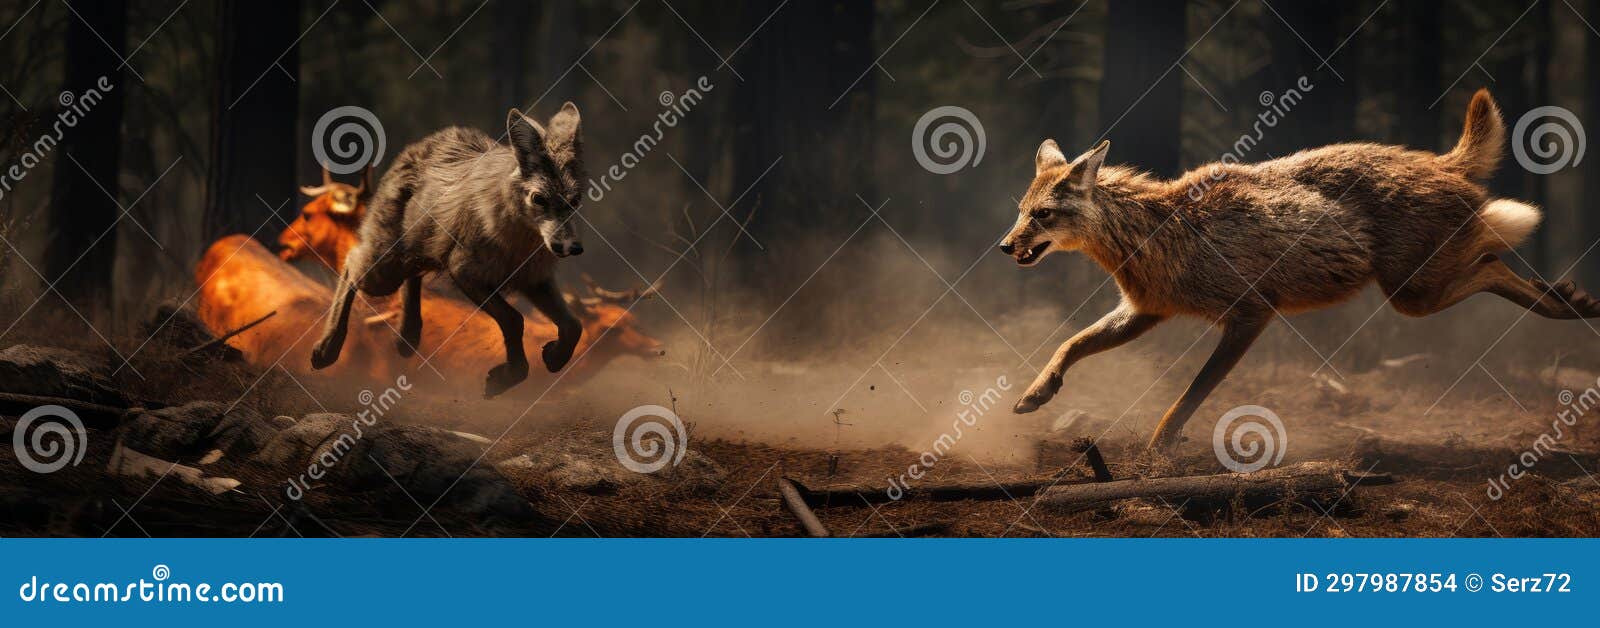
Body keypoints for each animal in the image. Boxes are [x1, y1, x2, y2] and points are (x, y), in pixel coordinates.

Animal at [309, 102, 589, 398]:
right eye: (539, 199)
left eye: (575, 200)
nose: (573, 247)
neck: (520, 245)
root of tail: (419, 144)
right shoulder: (464, 272)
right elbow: (515, 320)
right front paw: (505, 378)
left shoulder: (535, 281)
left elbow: (573, 326)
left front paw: (554, 358)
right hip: (383, 273)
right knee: (351, 261)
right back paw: (328, 348)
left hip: (411, 258)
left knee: (411, 274)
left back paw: (408, 336)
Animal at [1001, 89, 1598, 450]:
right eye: (1020, 209)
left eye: (1043, 214)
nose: (1005, 246)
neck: (1161, 235)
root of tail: (1438, 161)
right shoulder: (1146, 311)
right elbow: (1071, 343)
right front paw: (1036, 395)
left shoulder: (1250, 312)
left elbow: (1189, 396)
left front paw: (1155, 454)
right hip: (1415, 290)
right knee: (1497, 257)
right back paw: (1568, 298)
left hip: (1411, 294)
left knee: (1495, 254)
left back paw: (1570, 301)